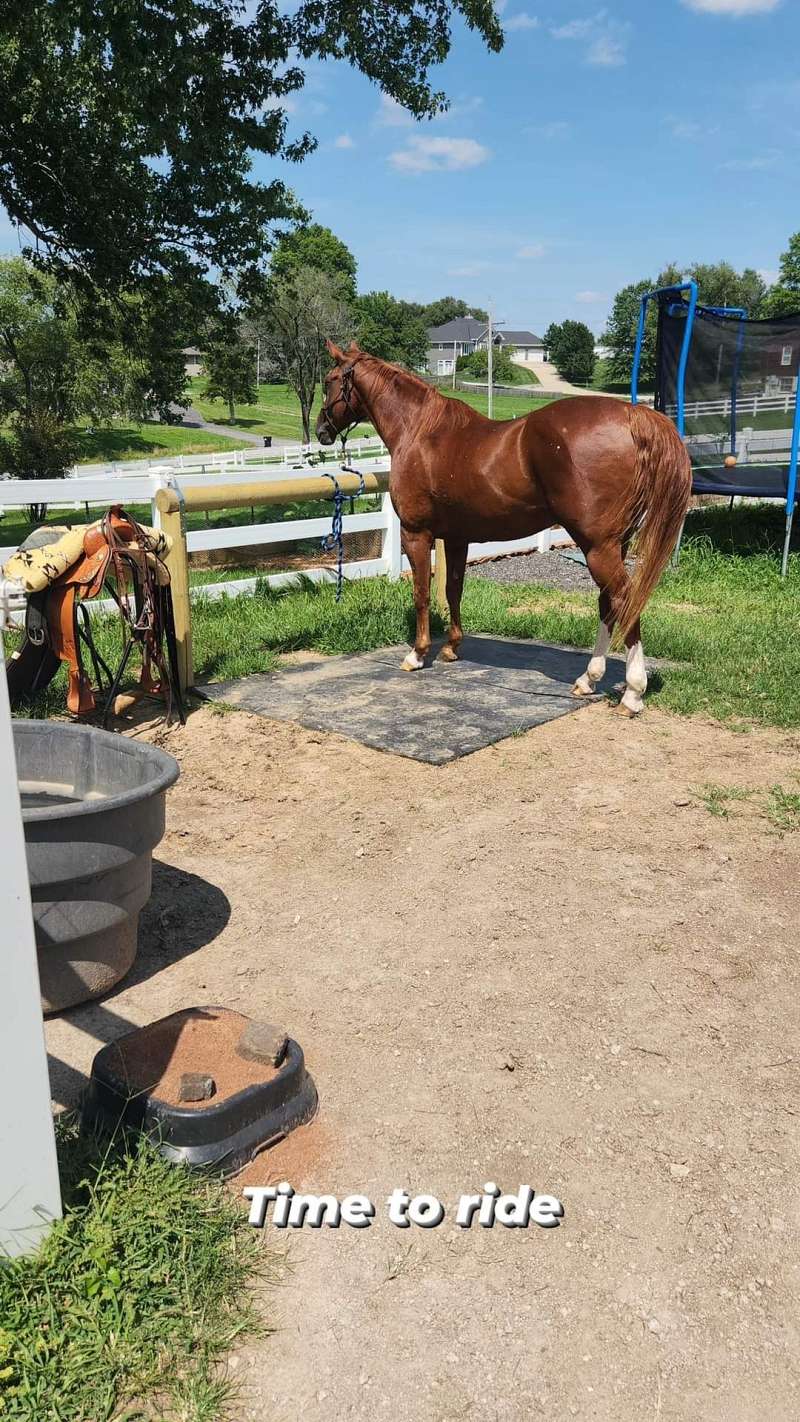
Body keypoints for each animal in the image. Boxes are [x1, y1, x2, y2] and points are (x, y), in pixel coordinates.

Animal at [316, 341, 691, 715]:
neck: (421, 432)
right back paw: (589, 679)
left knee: (624, 599)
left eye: (330, 380)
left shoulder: (415, 534)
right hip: (613, 545)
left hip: (598, 547)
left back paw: (633, 692)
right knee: (609, 603)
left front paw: (417, 653)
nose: (321, 430)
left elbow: (421, 593)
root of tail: (632, 416)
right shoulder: (457, 538)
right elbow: (453, 590)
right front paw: (451, 647)